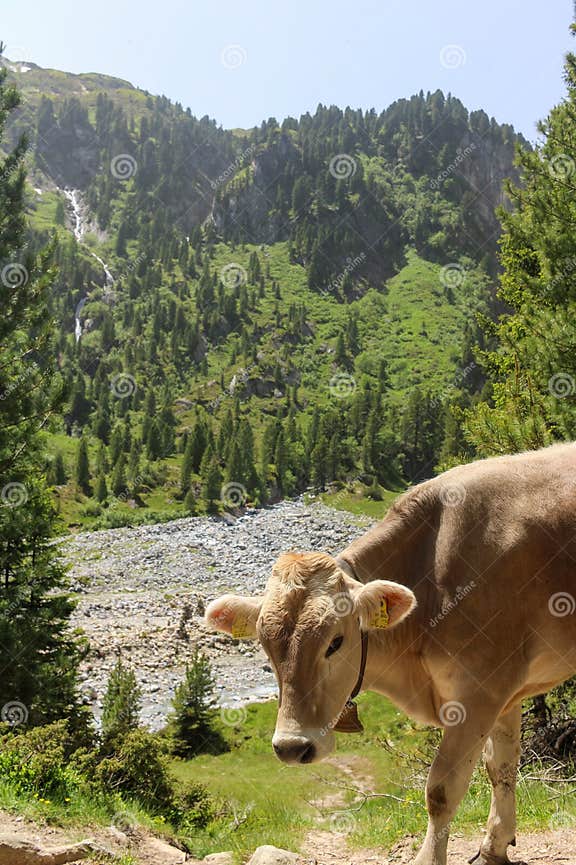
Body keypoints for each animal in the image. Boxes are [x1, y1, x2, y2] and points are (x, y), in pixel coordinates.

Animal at [206, 443, 576, 865]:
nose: (291, 747)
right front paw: (494, 846)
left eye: (335, 642)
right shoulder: (505, 693)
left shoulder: (479, 693)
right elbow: (501, 767)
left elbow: (441, 790)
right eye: (266, 648)